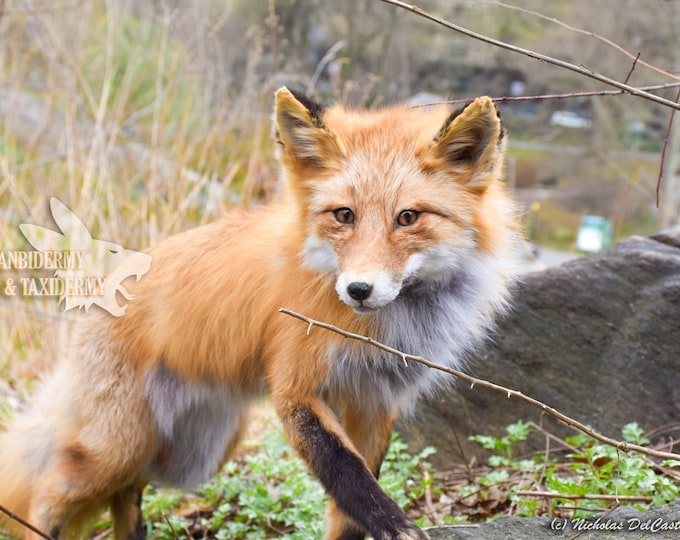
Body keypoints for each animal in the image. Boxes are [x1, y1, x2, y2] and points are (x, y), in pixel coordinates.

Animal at [0, 87, 521, 540]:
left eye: (408, 218)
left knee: (125, 494)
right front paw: (399, 527)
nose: (358, 289)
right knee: (53, 489)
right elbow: (350, 479)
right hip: (120, 447)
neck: (393, 326)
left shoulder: (375, 401)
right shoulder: (296, 389)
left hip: (191, 454)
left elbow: (350, 505)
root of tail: (99, 295)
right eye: (344, 215)